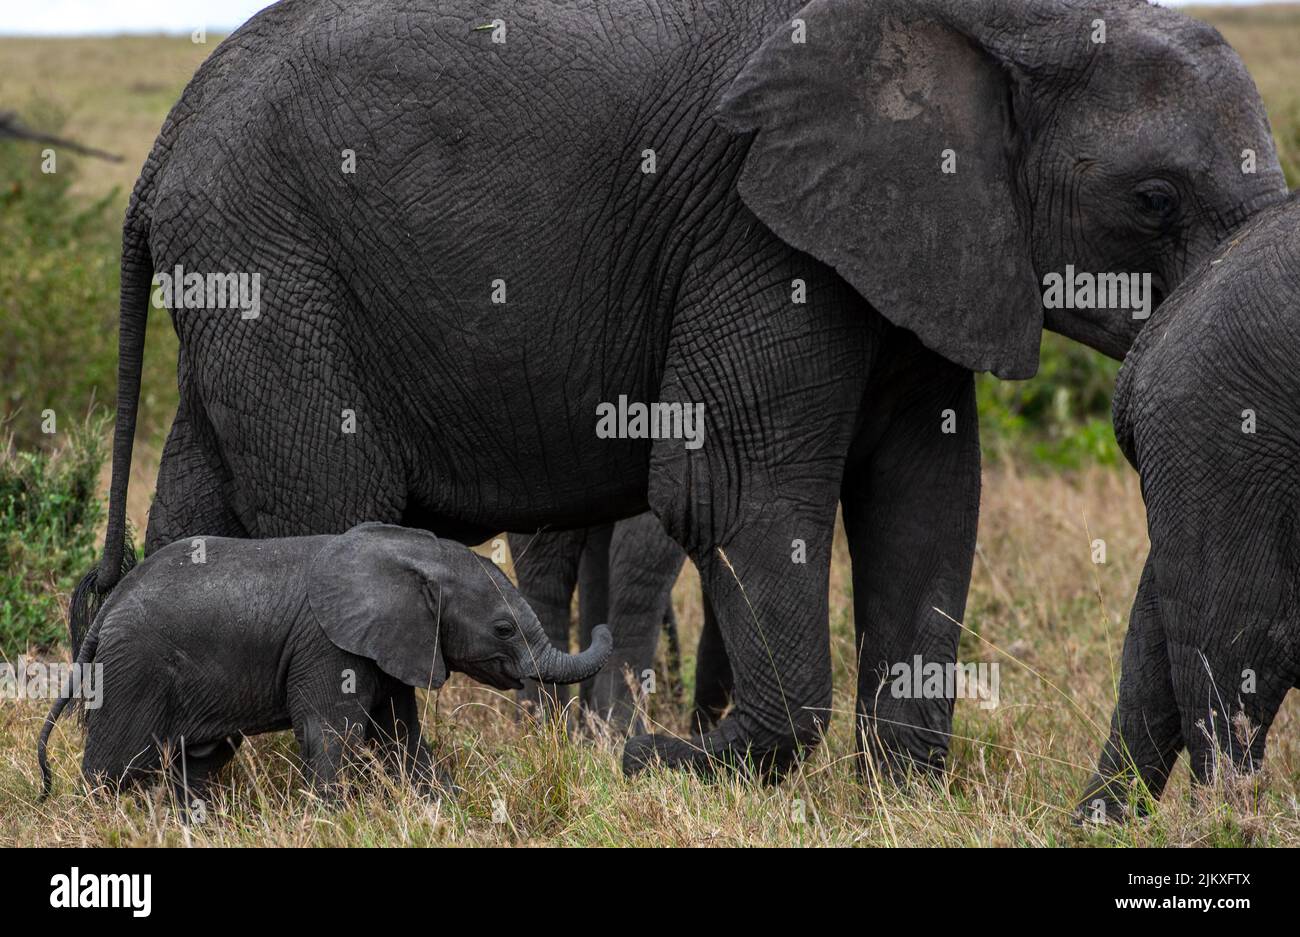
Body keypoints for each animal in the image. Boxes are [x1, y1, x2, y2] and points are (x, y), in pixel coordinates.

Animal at [40, 523, 613, 803]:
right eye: (503, 629)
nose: (601, 627)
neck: (415, 559)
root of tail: (108, 604)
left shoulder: (387, 643)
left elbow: (401, 738)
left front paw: (451, 807)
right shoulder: (328, 645)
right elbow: (330, 733)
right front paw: (333, 818)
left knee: (197, 762)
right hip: (133, 667)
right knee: (115, 766)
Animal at [73, 0, 1287, 782]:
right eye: (1153, 199)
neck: (1012, 24)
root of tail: (162, 149)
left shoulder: (918, 238)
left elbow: (927, 493)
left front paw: (900, 793)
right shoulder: (753, 227)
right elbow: (730, 489)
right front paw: (682, 765)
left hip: (241, 279)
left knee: (202, 507)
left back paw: (191, 786)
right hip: (275, 269)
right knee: (331, 507)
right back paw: (386, 791)